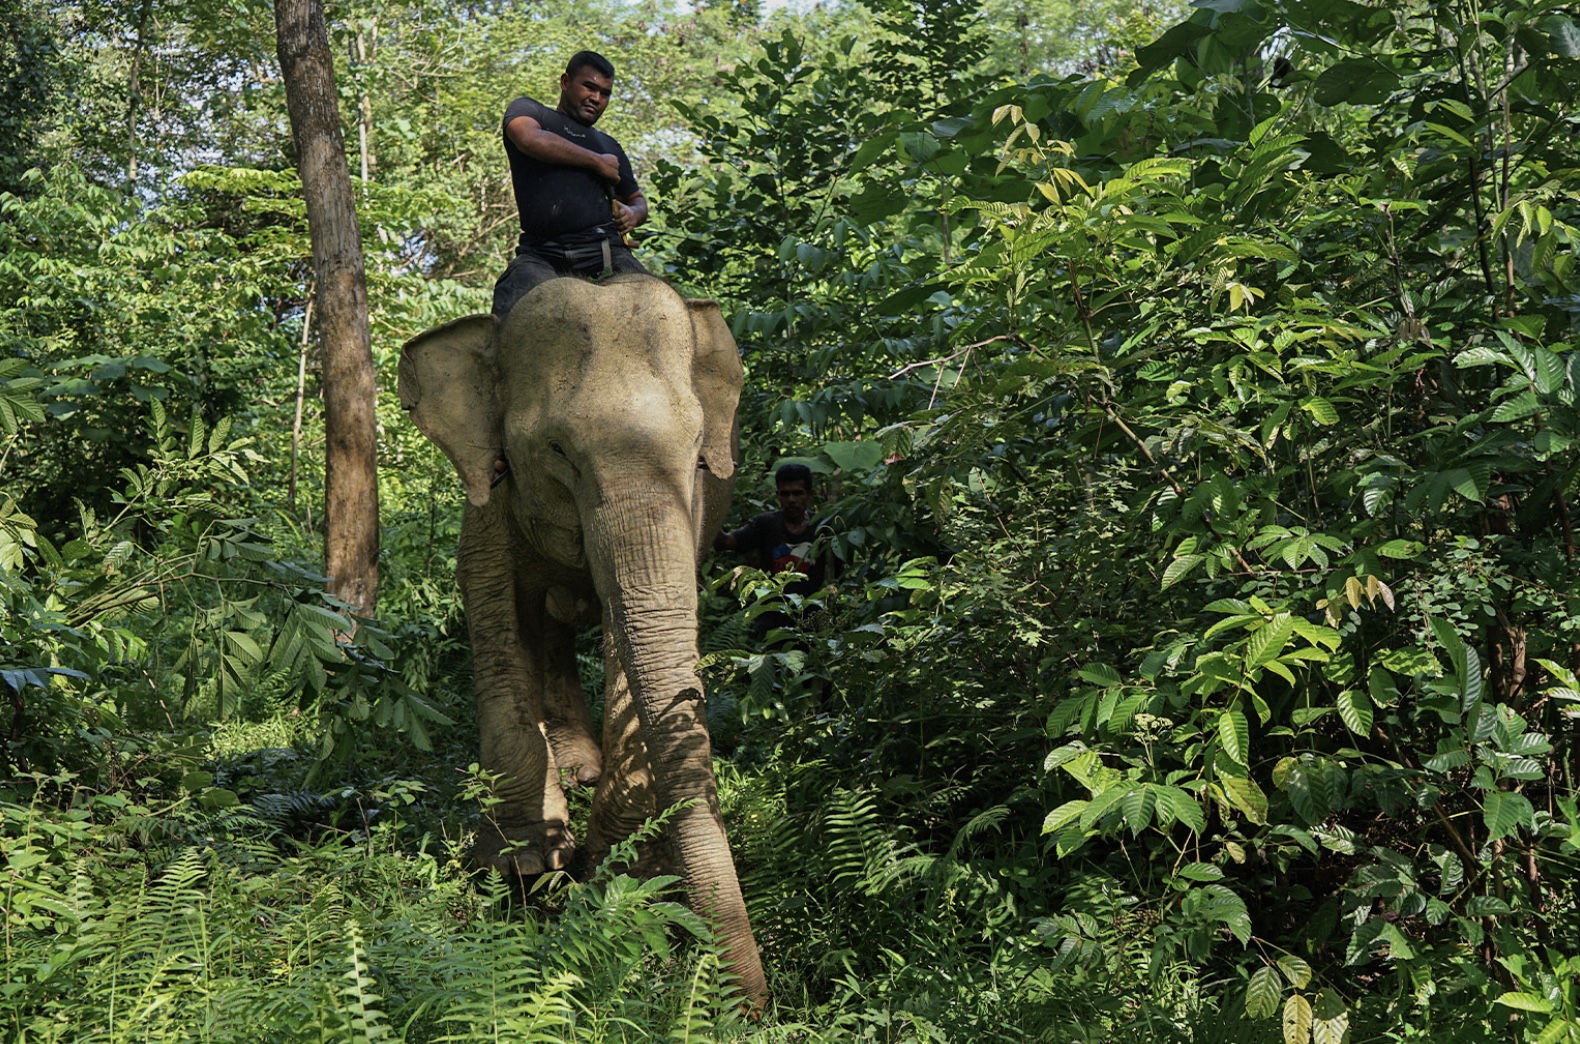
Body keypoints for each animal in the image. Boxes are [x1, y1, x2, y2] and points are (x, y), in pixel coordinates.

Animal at [397, 274, 766, 1004]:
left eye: (699, 451)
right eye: (558, 450)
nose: (758, 1009)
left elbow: (633, 639)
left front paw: (625, 868)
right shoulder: (488, 497)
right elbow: (495, 618)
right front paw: (523, 865)